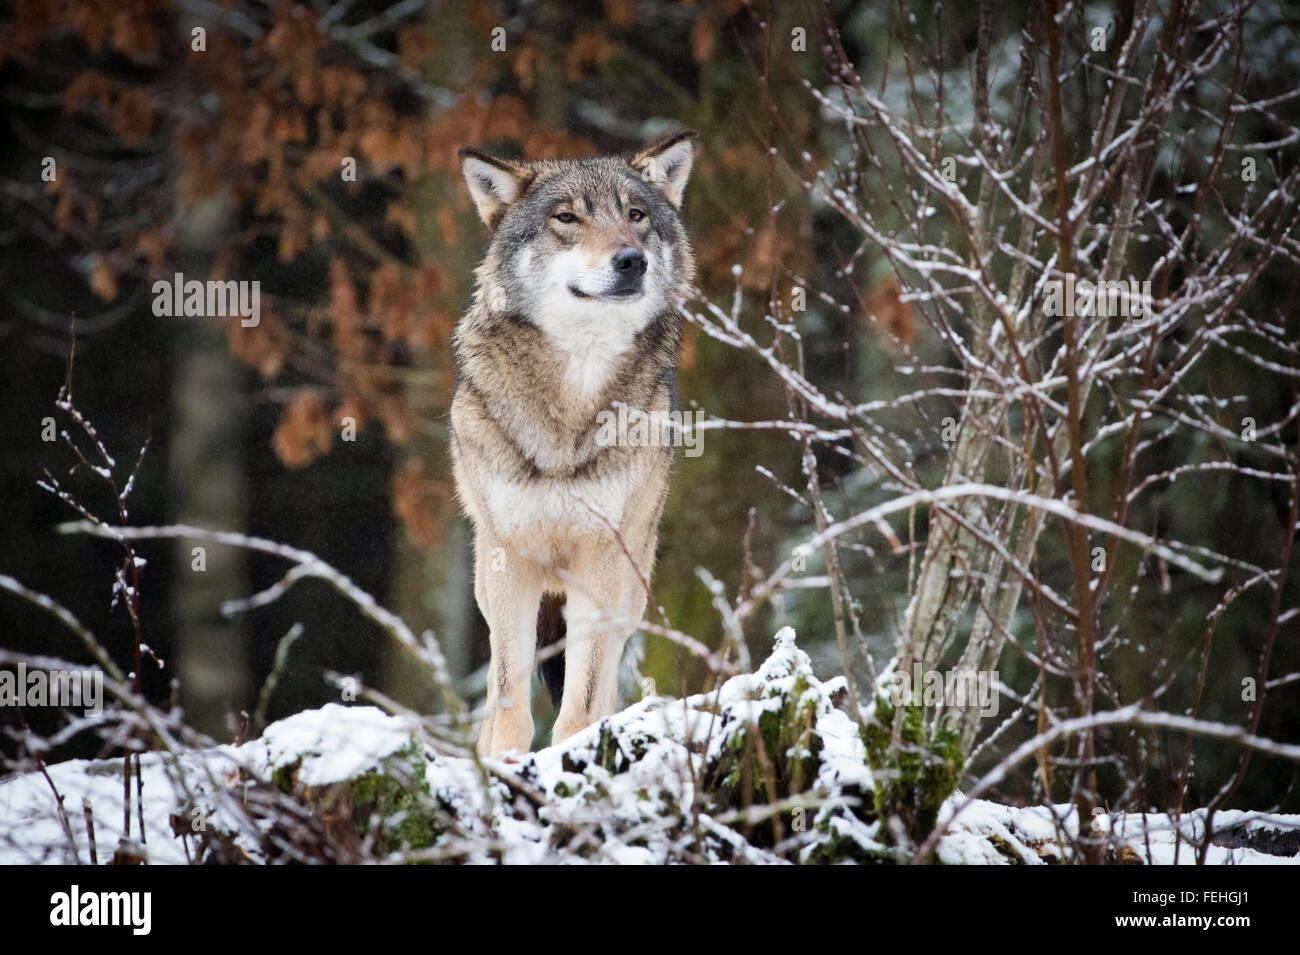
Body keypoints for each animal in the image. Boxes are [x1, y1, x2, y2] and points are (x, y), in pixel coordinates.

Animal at [451, 130, 697, 758]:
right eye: (567, 218)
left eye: (635, 216)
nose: (631, 260)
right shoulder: (507, 561)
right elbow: (508, 697)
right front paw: (504, 763)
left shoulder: (603, 558)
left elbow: (581, 701)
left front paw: (574, 754)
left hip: (630, 587)